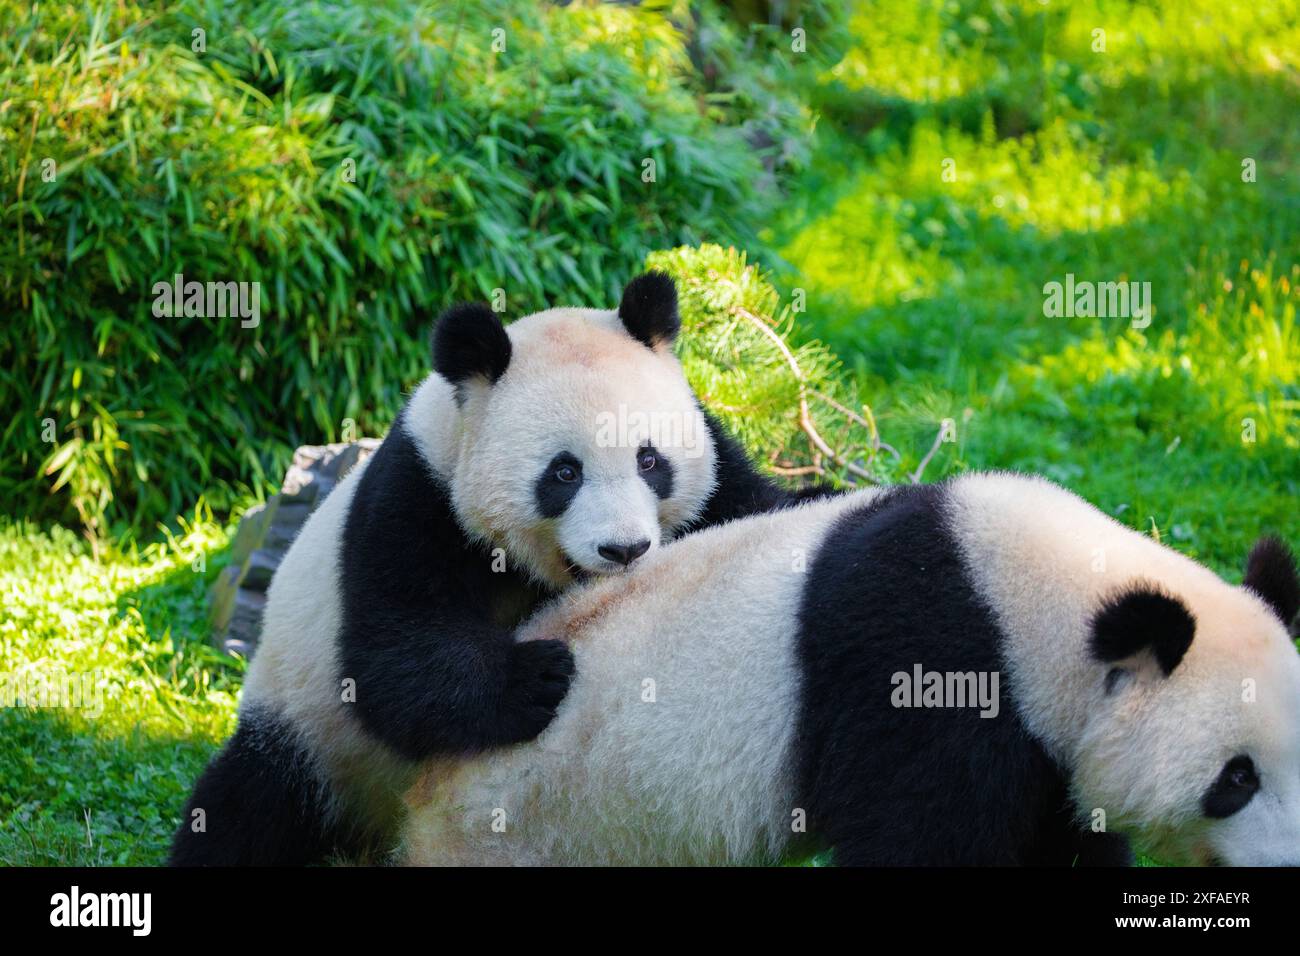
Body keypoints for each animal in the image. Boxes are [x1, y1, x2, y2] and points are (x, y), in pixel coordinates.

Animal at [169, 273, 832, 866]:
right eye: (564, 473)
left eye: (650, 461)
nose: (624, 550)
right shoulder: (416, 499)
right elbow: (393, 660)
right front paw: (534, 676)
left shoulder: (713, 461)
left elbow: (750, 503)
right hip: (306, 724)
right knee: (247, 805)